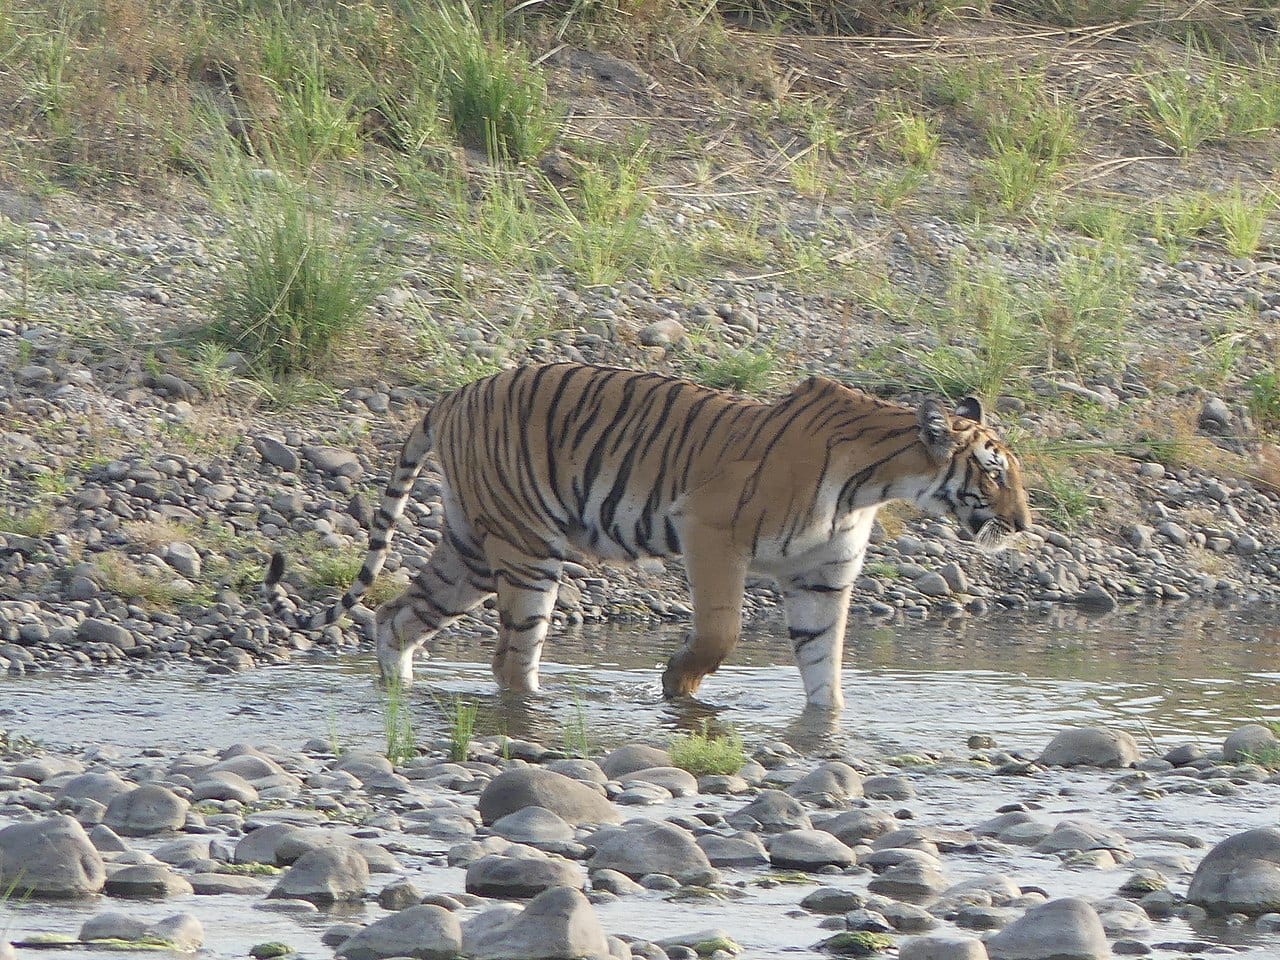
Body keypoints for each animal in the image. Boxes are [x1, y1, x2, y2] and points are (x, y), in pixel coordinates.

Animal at [266, 361, 1031, 711]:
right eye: (993, 473)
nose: (1024, 523)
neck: (872, 483)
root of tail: (453, 395)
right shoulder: (712, 532)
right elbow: (720, 631)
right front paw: (677, 684)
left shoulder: (823, 577)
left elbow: (825, 669)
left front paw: (826, 730)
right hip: (526, 549)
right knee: (510, 657)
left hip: (474, 548)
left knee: (398, 615)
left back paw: (399, 691)